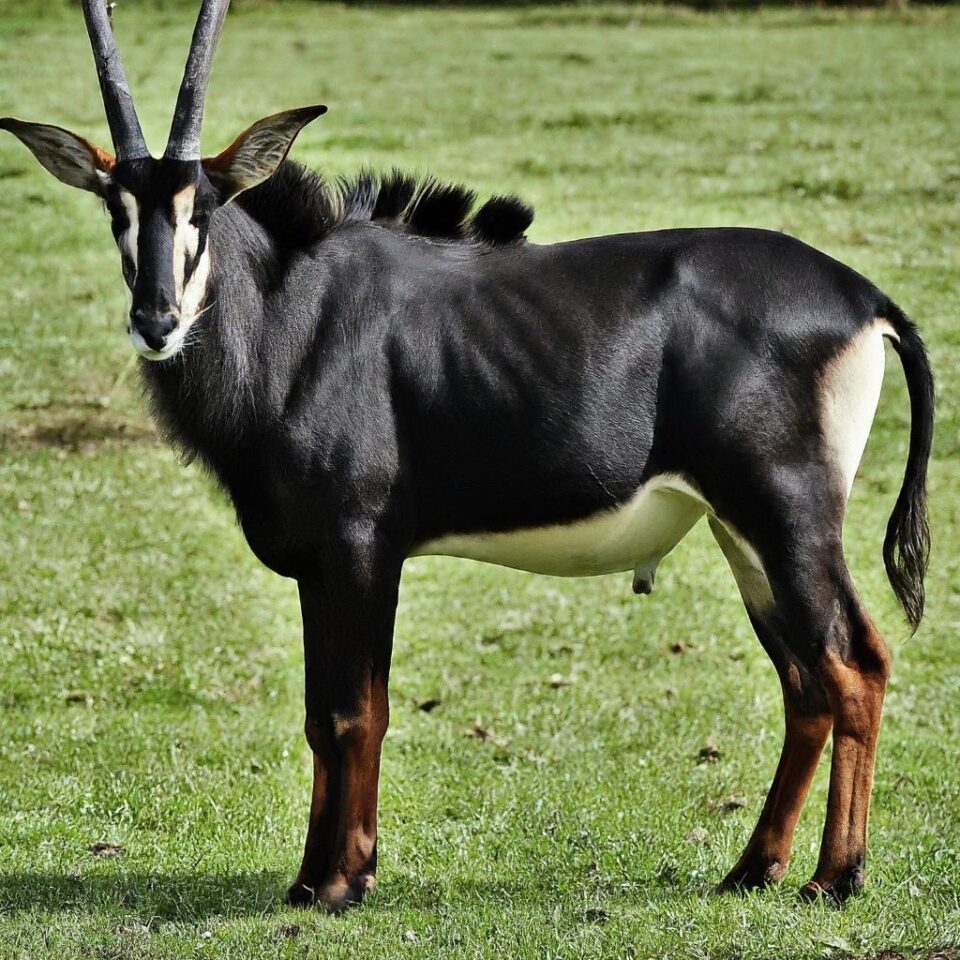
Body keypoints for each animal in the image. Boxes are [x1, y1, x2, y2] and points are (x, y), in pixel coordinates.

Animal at [0, 0, 933, 913]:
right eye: (117, 208)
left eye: (205, 207)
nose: (156, 321)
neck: (290, 312)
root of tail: (864, 299)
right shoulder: (315, 566)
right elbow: (317, 715)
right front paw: (305, 880)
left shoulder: (363, 548)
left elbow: (356, 711)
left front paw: (344, 881)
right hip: (741, 535)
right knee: (806, 683)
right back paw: (752, 870)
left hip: (787, 516)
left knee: (855, 665)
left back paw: (834, 878)